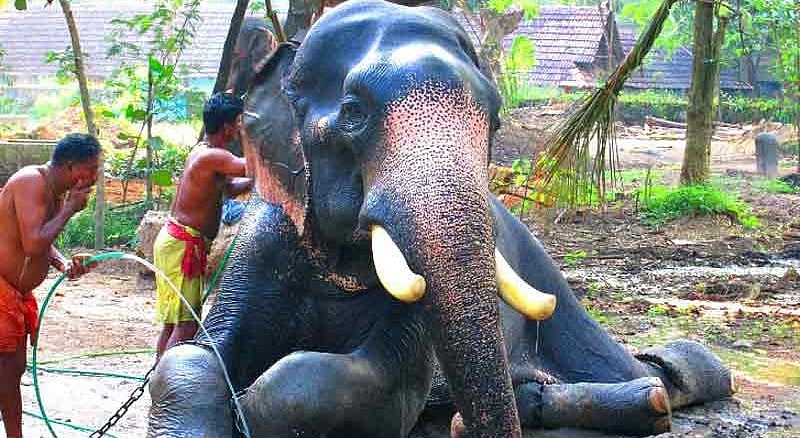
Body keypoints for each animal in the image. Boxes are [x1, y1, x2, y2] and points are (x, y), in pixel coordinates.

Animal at [147, 1, 735, 437]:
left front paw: (252, 408)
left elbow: (374, 381)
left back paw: (648, 393)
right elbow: (190, 358)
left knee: (646, 372)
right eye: (354, 113)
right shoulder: (263, 242)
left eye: (494, 119)